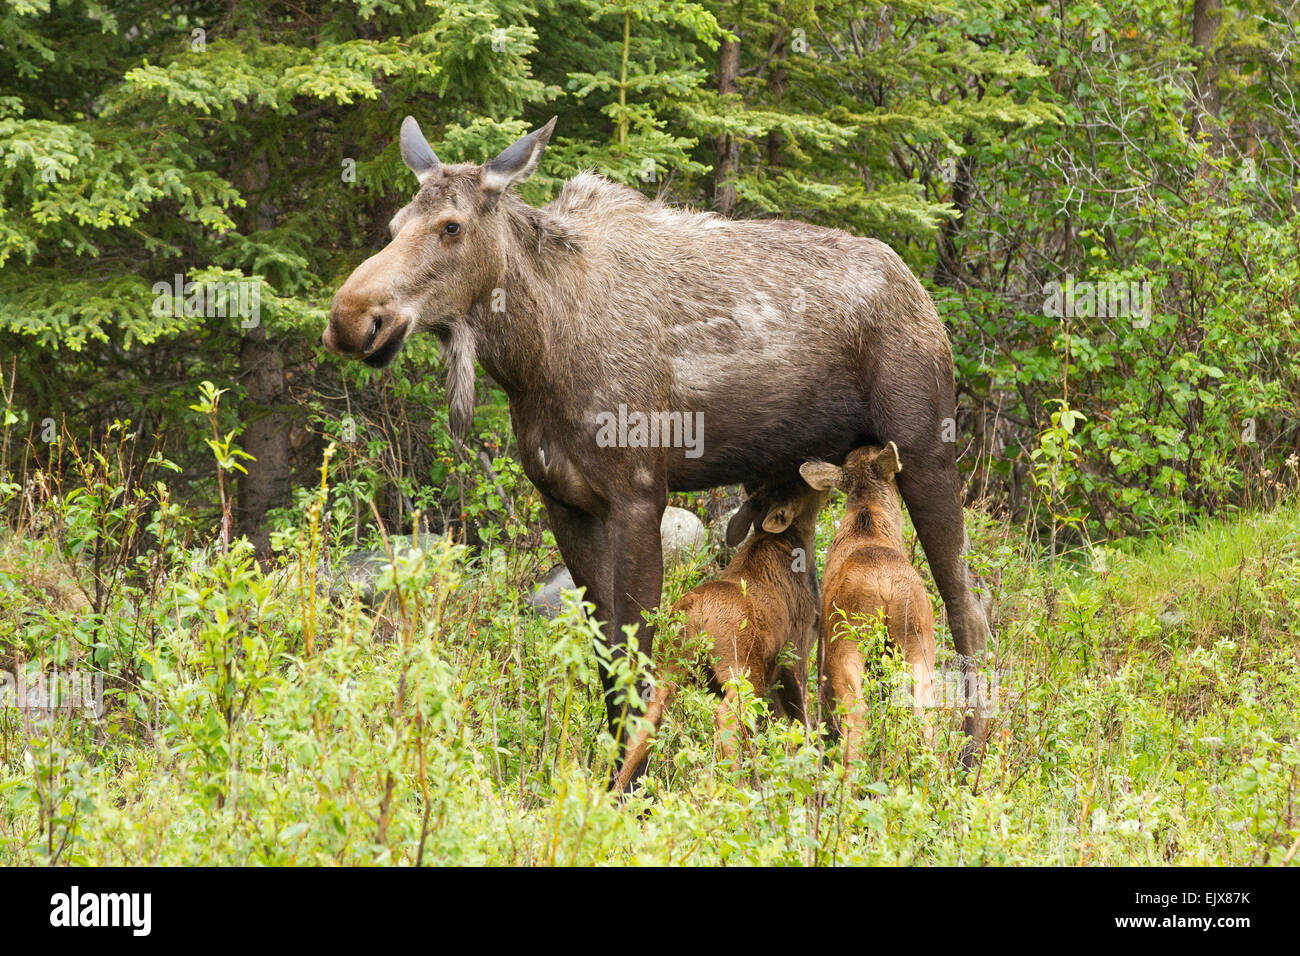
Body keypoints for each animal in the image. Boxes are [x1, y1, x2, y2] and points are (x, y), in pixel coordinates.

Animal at [612, 483, 827, 792]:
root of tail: (698, 612)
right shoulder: (795, 652)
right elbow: (803, 719)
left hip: (669, 665)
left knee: (644, 723)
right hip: (743, 667)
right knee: (727, 716)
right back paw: (741, 790)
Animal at [800, 443, 937, 763]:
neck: (869, 518)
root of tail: (885, 587)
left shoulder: (823, 642)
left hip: (846, 639)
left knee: (857, 711)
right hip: (919, 637)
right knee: (923, 712)